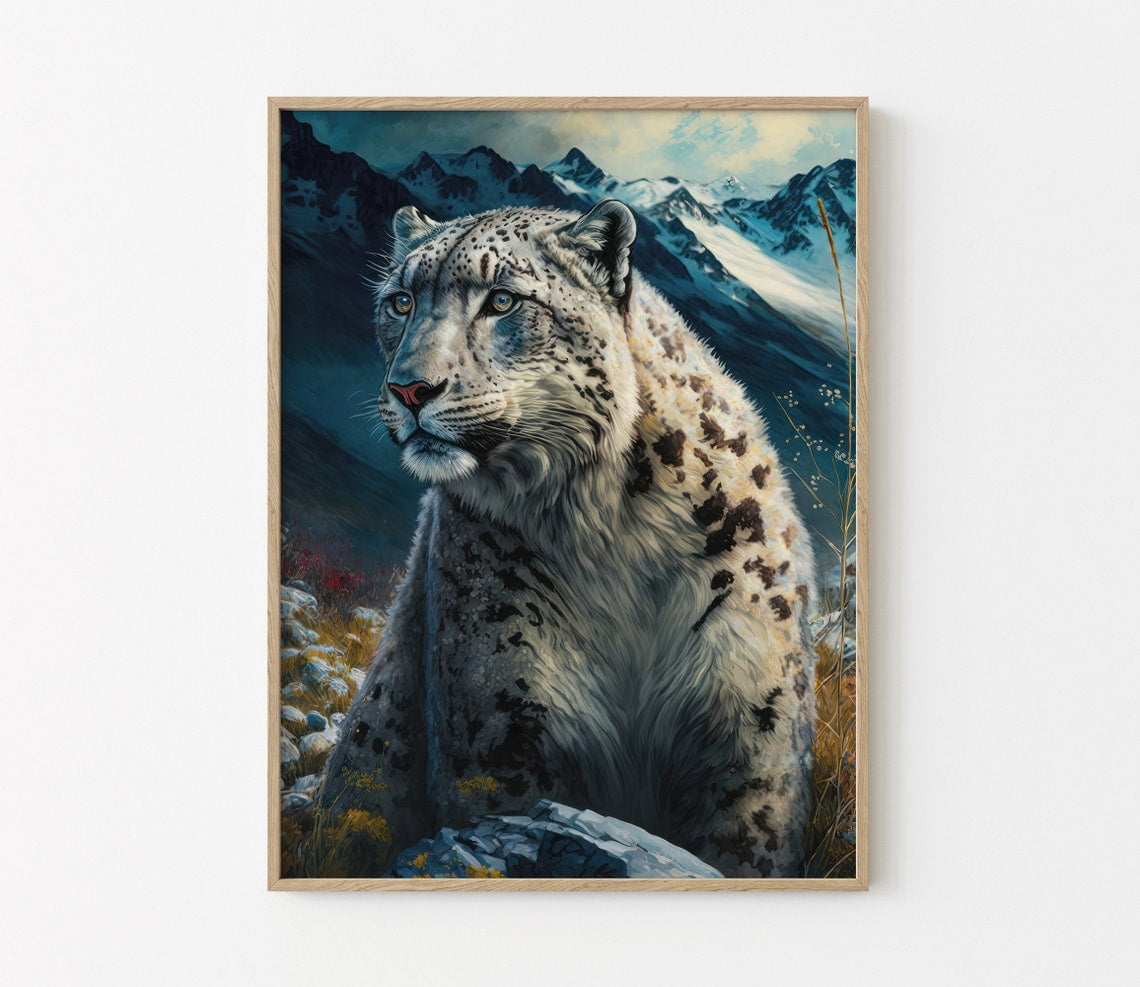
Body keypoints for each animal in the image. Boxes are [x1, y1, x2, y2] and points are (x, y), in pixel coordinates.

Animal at [316, 199, 818, 878]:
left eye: (502, 300)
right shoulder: (502, 730)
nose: (409, 388)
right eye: (400, 301)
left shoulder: (751, 732)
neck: (610, 528)